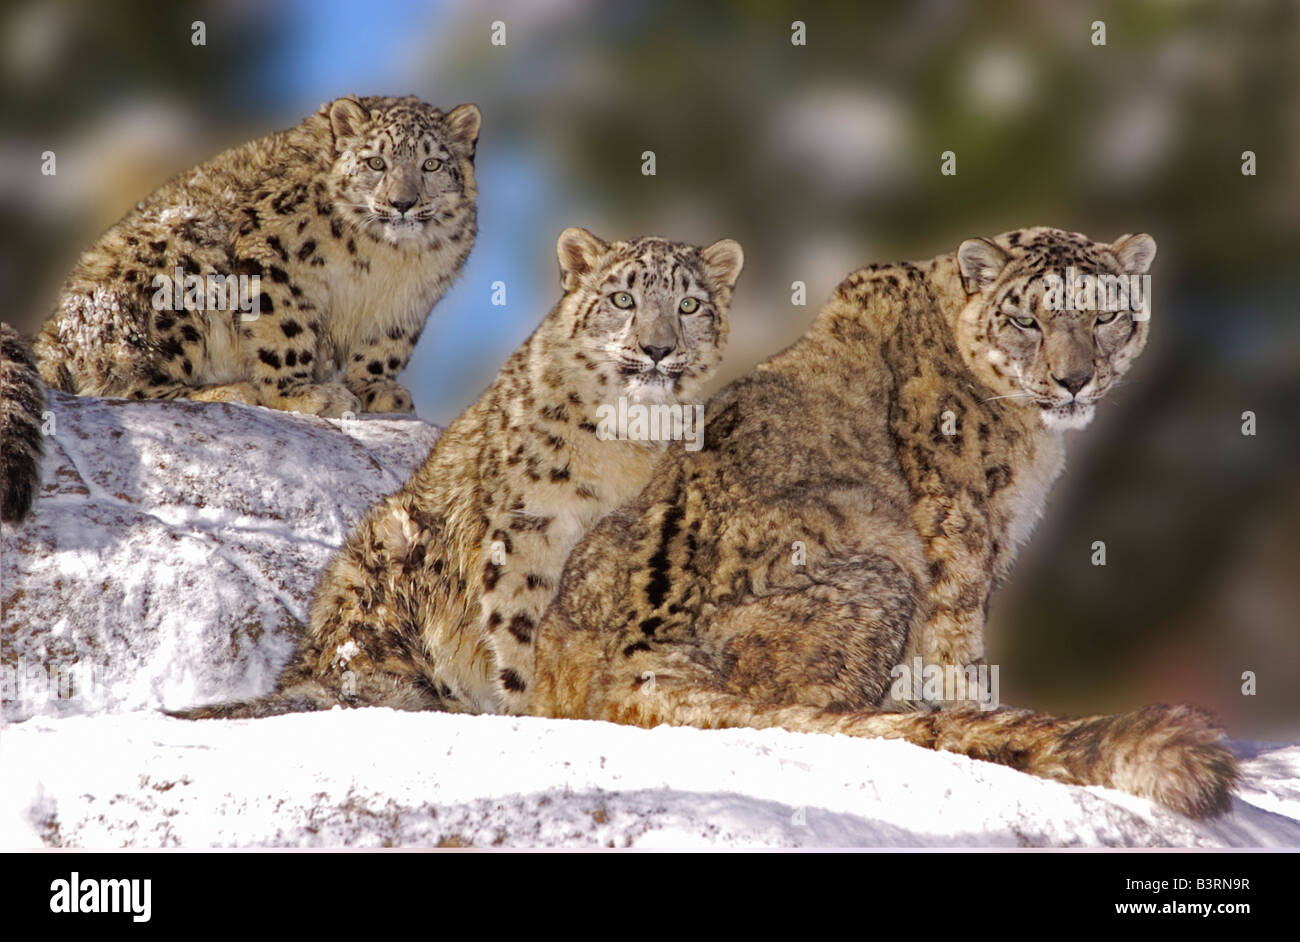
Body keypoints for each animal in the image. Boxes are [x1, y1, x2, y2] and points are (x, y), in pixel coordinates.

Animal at [177, 228, 744, 719]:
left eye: (689, 305)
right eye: (622, 299)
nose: (657, 348)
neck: (631, 441)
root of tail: (304, 664)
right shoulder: (526, 535)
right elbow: (522, 627)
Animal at [525, 227, 1238, 819]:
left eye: (1106, 315)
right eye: (1026, 320)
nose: (1073, 381)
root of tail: (633, 659)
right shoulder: (962, 534)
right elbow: (958, 652)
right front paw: (972, 708)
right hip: (882, 566)